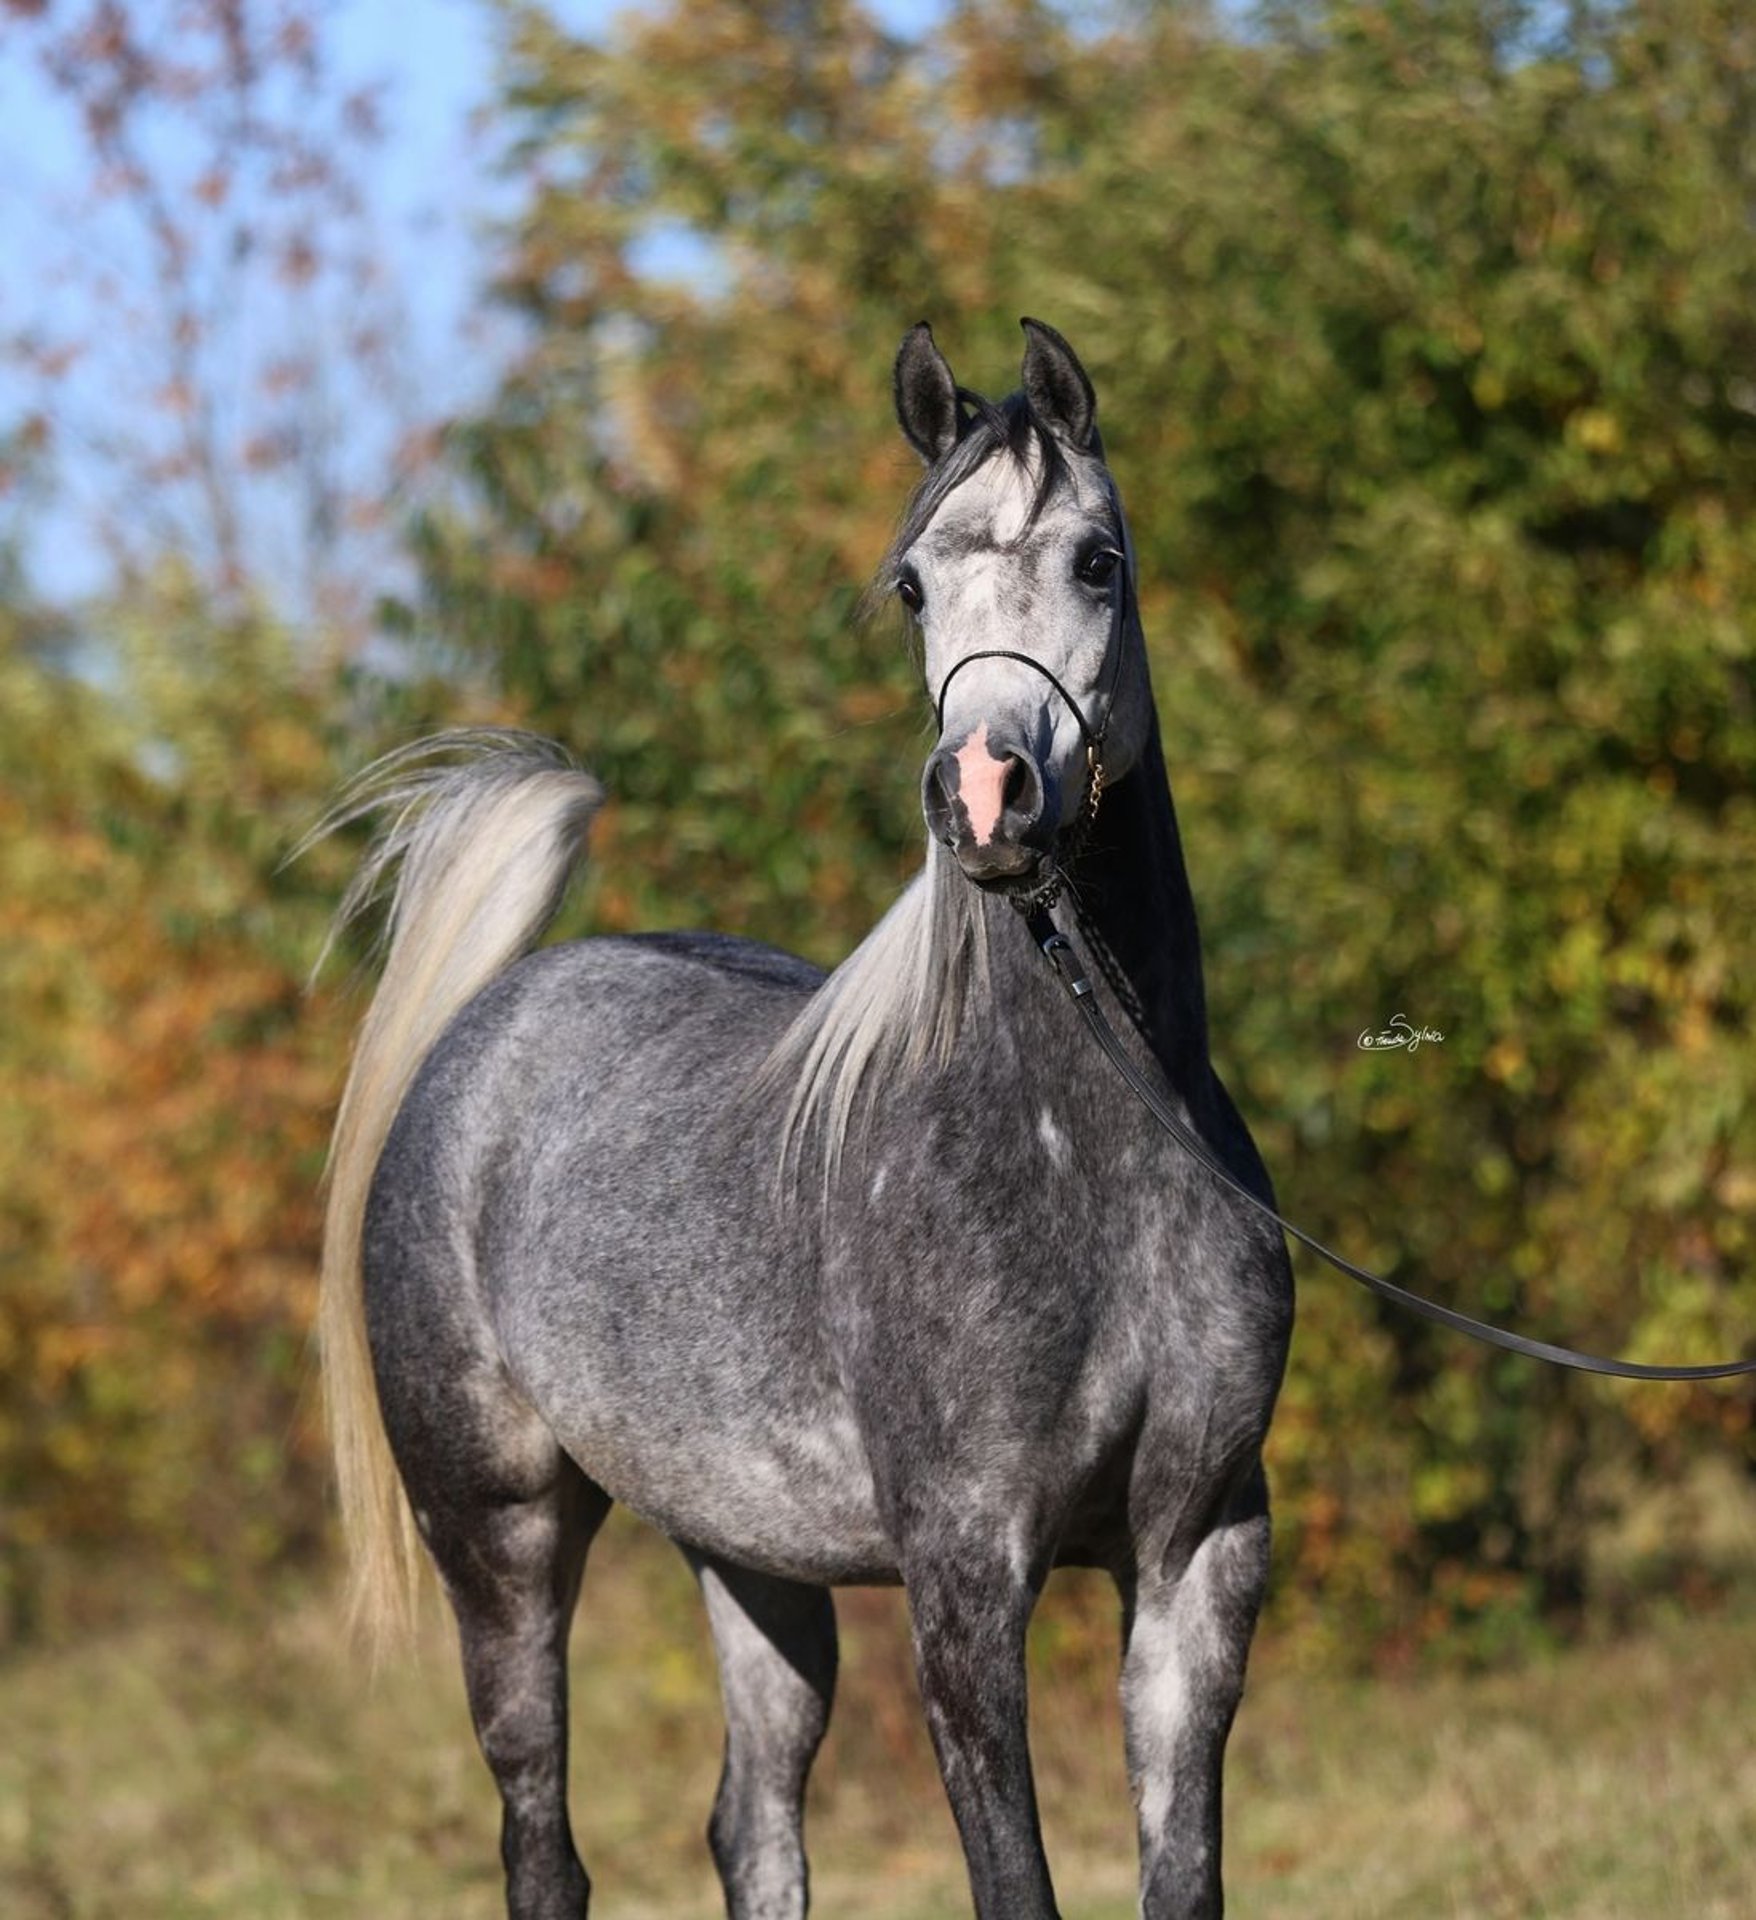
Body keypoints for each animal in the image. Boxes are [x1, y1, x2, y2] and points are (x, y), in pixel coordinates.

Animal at [314, 318, 1294, 1920]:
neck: (1090, 1158)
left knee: (752, 1827)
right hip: (500, 1539)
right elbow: (1012, 1881)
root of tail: (488, 1027)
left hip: (748, 1556)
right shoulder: (965, 1578)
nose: (985, 794)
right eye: (912, 586)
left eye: (1098, 560)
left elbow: (1184, 1874)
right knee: (540, 1841)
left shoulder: (1198, 1556)